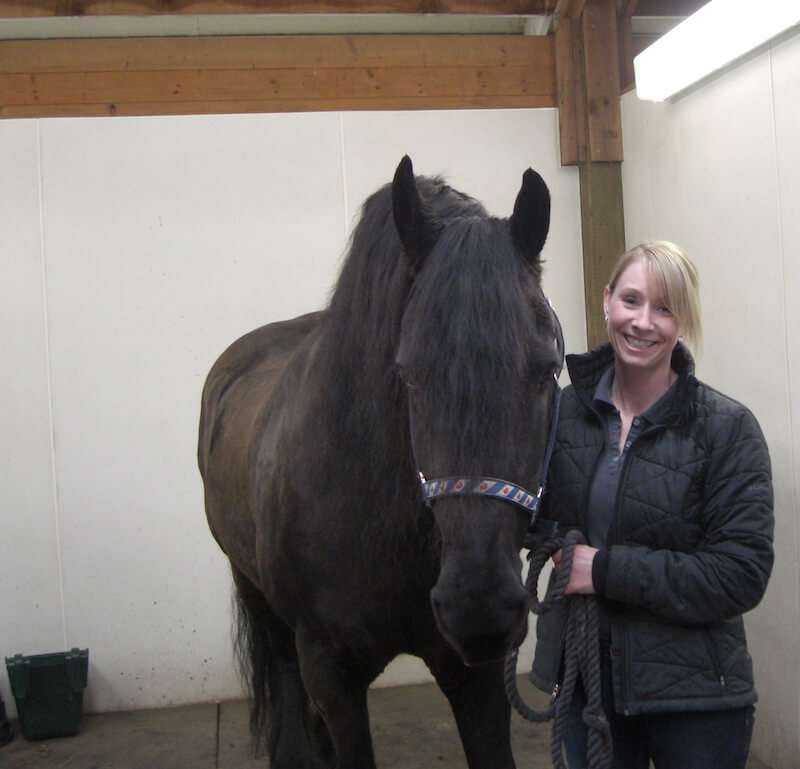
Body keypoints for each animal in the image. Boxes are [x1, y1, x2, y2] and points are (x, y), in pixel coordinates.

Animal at [198, 155, 562, 769]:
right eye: (408, 374)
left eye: (545, 371)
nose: (478, 606)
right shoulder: (330, 667)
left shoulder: (474, 675)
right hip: (259, 598)